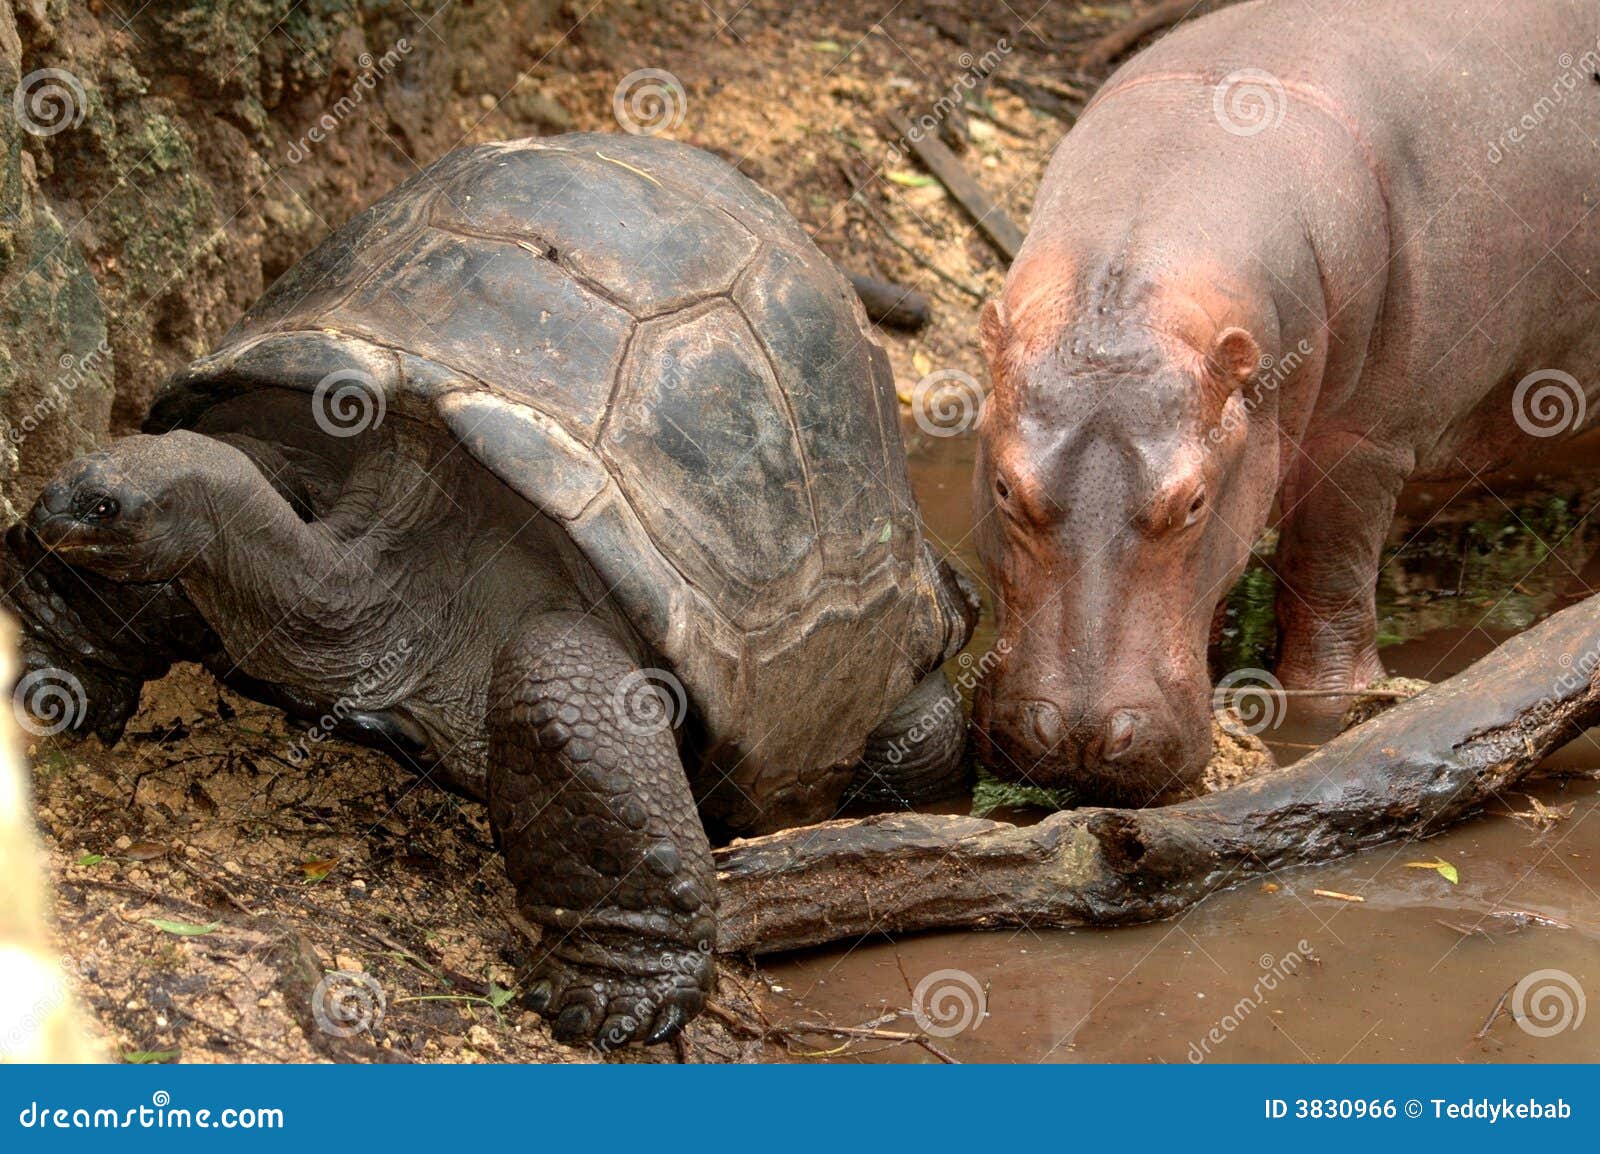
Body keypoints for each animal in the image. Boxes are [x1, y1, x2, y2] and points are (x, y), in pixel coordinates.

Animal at [975, 0, 1600, 803]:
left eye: (1194, 503)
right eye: (1003, 487)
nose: (1080, 737)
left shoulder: (1364, 441)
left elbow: (1328, 568)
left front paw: (1326, 709)